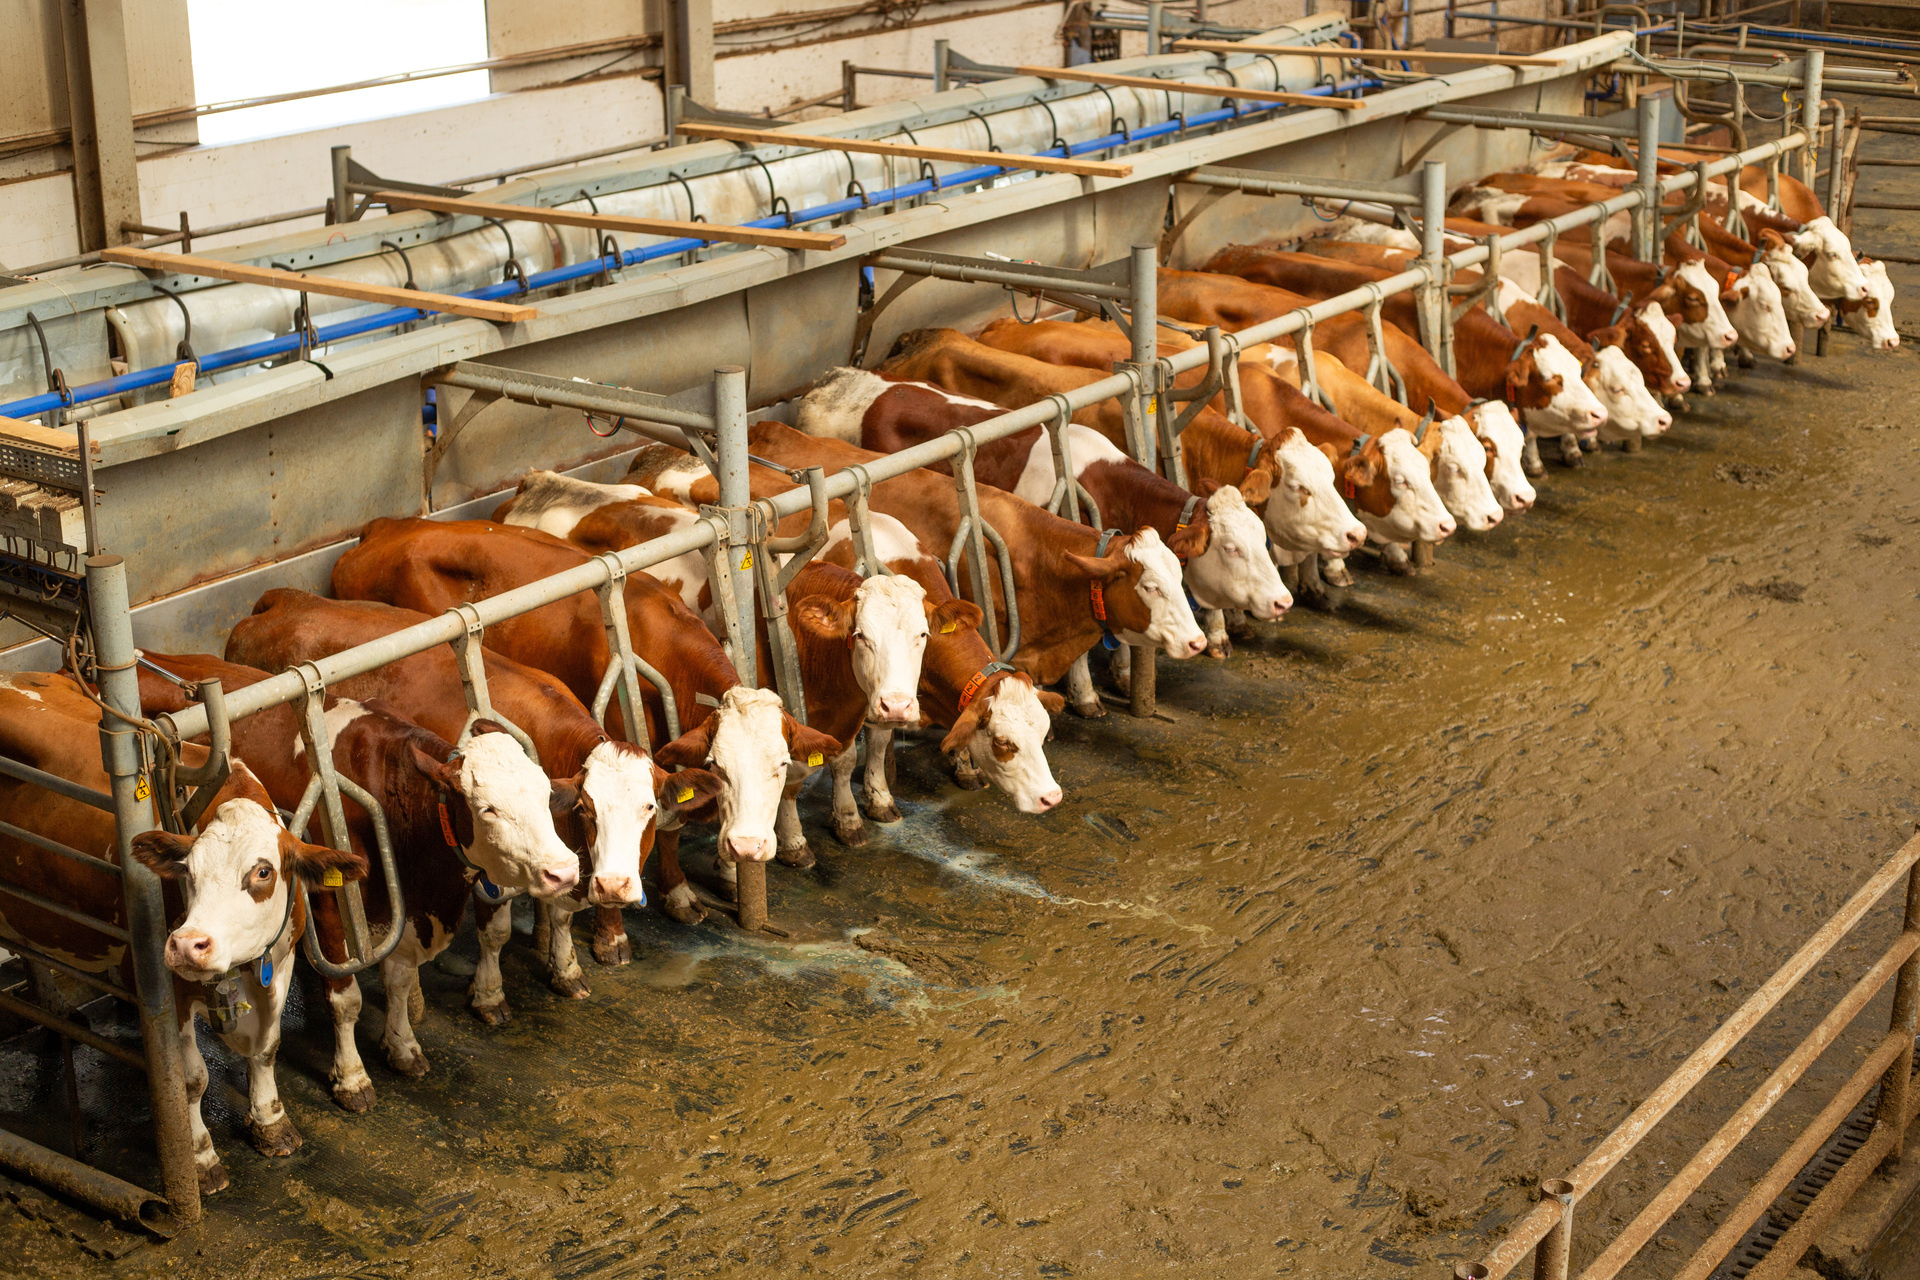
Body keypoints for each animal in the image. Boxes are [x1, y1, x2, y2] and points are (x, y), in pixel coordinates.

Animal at [330, 521, 840, 932]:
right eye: (717, 764)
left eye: (781, 764)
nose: (748, 846)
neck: (664, 648)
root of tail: (383, 528)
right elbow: (657, 833)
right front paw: (635, 918)